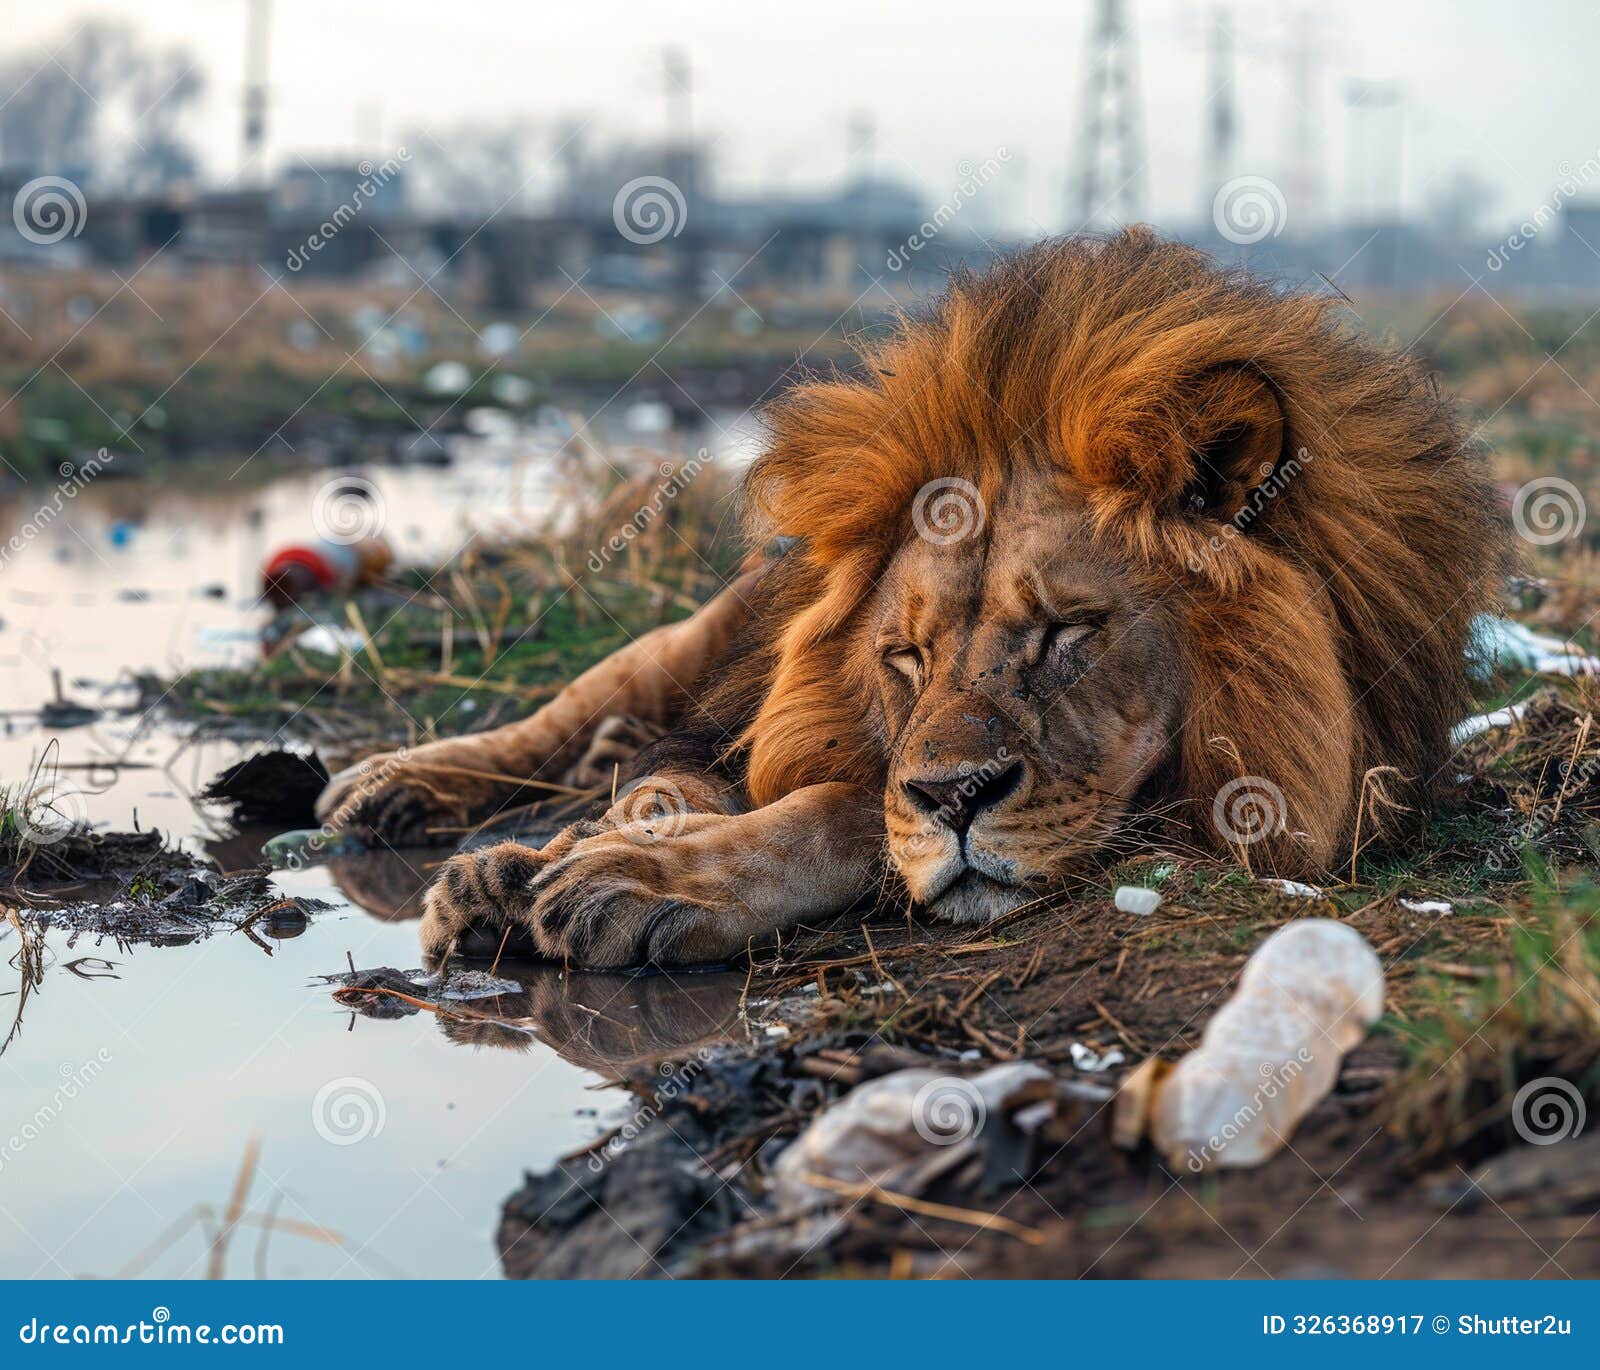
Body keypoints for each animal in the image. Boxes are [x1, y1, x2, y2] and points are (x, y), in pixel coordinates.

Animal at [316, 228, 1512, 968]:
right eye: (906, 657)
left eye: (1067, 632)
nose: (954, 796)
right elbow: (822, 789)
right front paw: (544, 864)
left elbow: (847, 807)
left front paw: (629, 871)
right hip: (710, 630)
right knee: (585, 699)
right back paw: (392, 789)